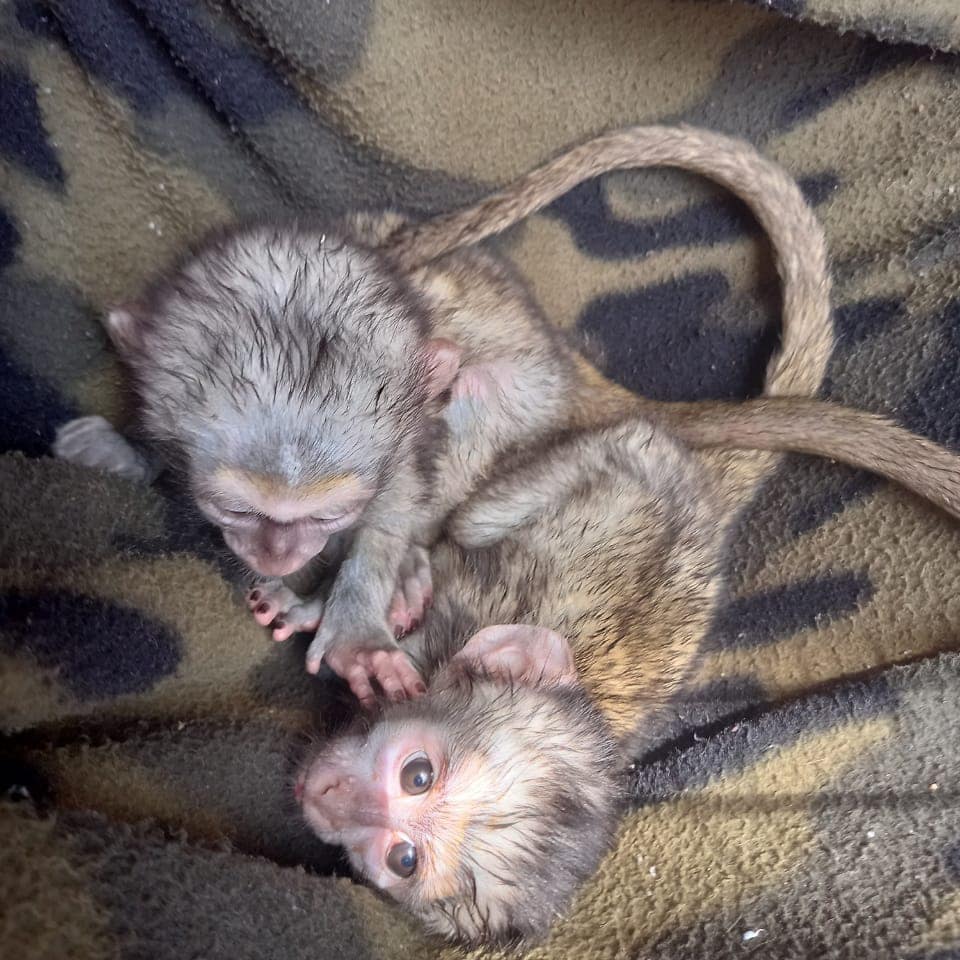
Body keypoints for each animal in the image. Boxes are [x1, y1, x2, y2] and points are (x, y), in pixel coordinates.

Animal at [53, 125, 960, 708]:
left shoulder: (402, 434)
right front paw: (124, 448)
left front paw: (355, 613)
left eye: (324, 515)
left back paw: (394, 581)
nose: (280, 552)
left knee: (475, 407)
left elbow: (398, 498)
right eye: (237, 510)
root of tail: (582, 375)